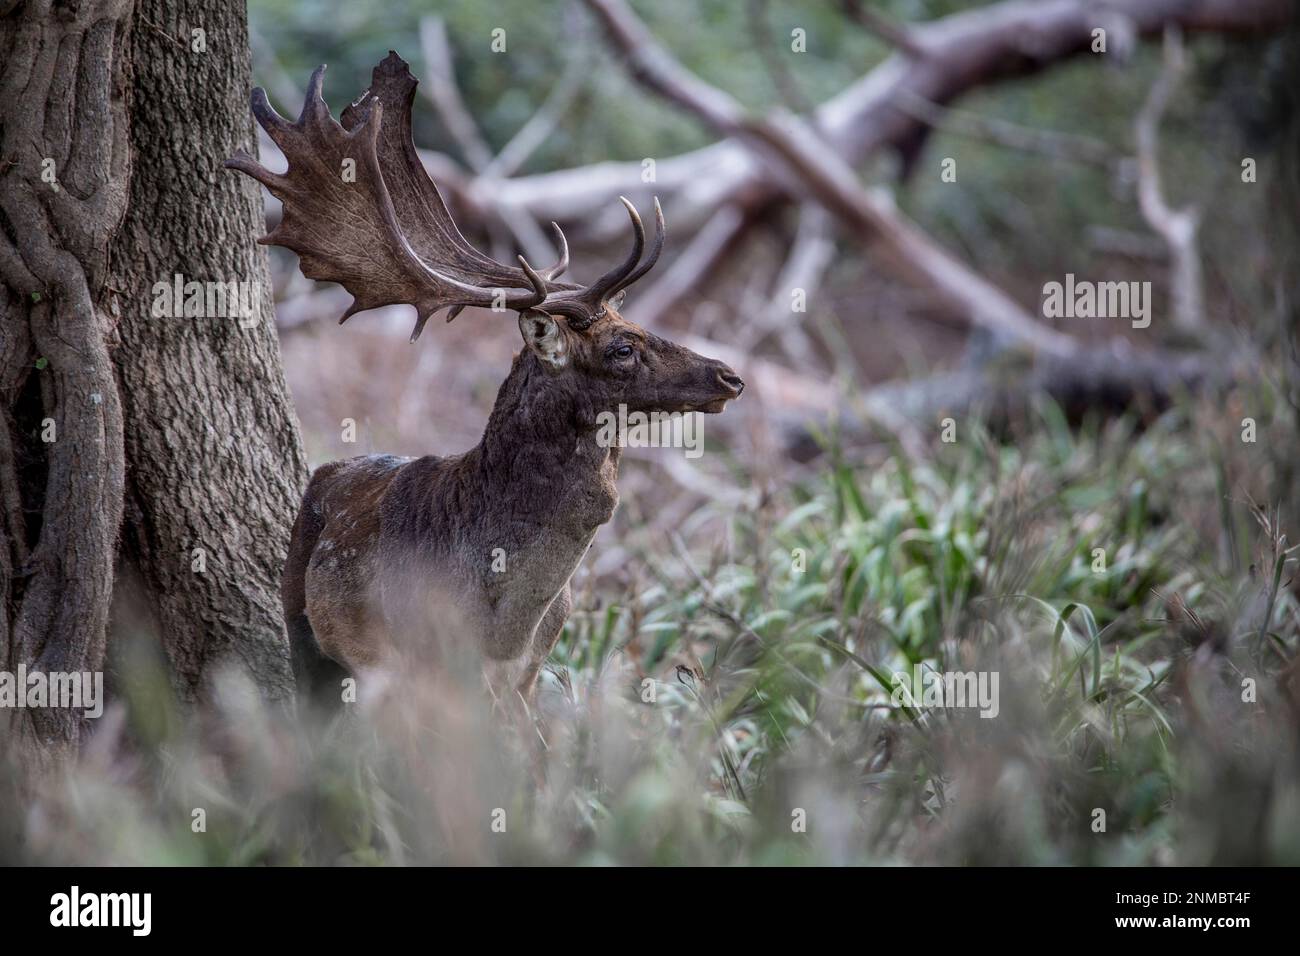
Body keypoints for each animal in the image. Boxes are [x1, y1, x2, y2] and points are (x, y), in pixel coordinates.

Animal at [226, 53, 744, 708]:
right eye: (622, 347)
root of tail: (328, 470)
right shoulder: (427, 669)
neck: (504, 618)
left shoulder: (529, 669)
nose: (729, 376)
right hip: (307, 631)